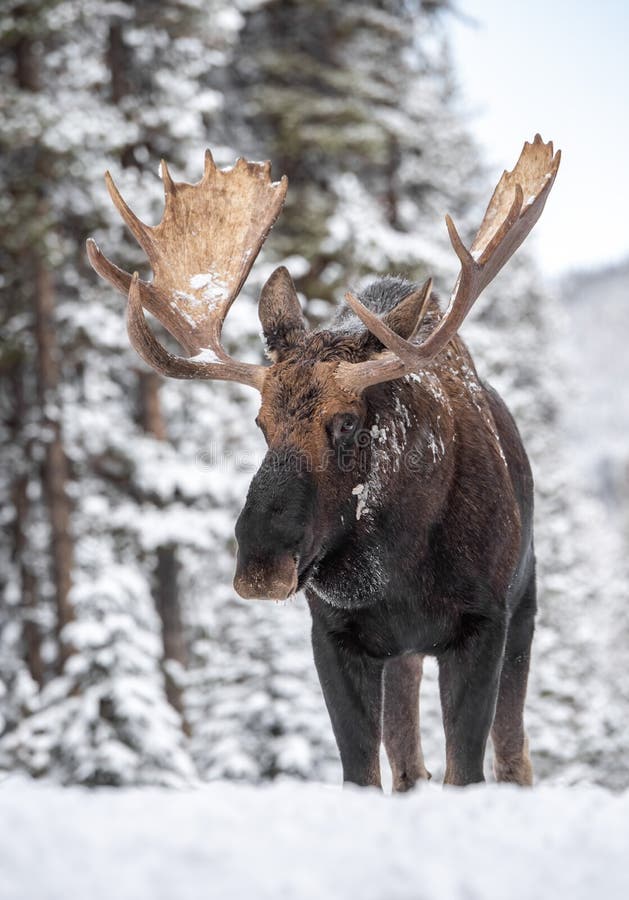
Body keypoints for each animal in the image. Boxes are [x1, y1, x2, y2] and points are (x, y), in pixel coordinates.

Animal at [87, 135, 560, 790]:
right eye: (261, 423)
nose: (261, 560)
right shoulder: (336, 634)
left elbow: (467, 770)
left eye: (348, 421)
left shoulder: (484, 622)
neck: (401, 564)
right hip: (405, 657)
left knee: (513, 754)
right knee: (408, 763)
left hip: (526, 604)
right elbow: (362, 773)